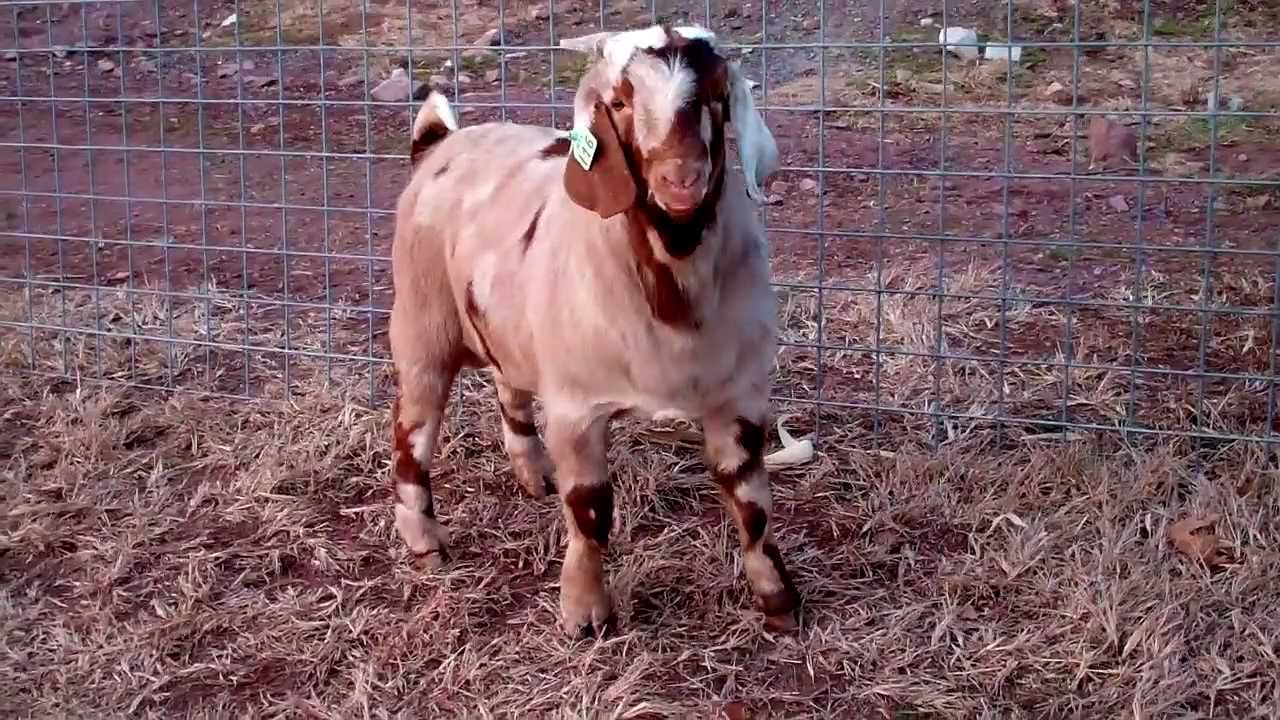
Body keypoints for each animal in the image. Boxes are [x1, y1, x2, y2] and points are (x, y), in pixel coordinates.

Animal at [388, 24, 800, 636]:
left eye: (714, 96)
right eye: (621, 104)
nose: (682, 181)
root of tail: (439, 143)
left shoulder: (740, 394)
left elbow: (752, 504)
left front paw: (778, 601)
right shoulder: (578, 404)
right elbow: (590, 509)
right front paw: (585, 613)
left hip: (506, 324)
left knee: (508, 387)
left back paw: (534, 475)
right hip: (421, 324)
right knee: (412, 431)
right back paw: (425, 542)